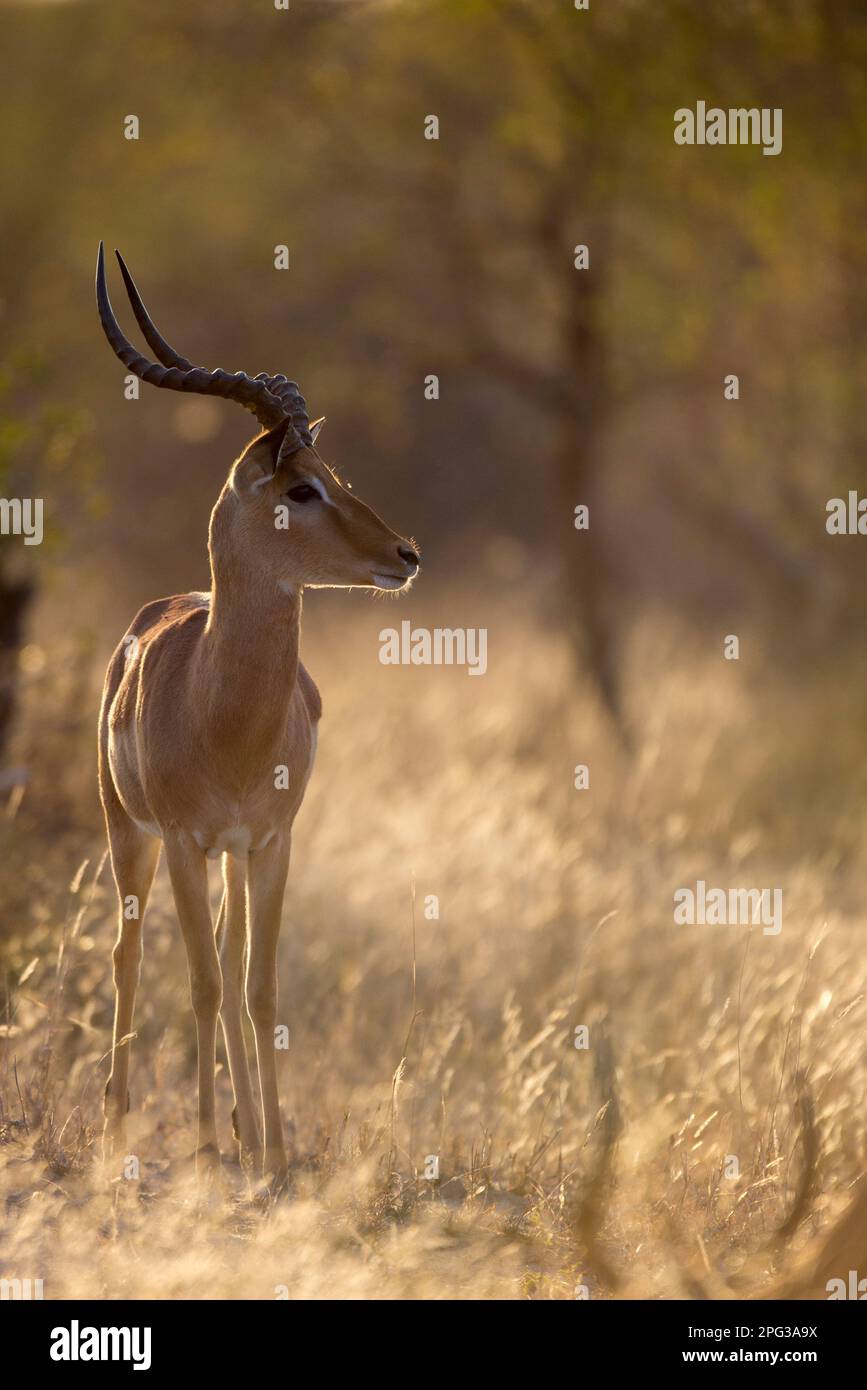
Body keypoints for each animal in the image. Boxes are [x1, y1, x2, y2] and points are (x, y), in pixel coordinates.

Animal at [95, 244, 419, 1183]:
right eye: (300, 489)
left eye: (337, 477)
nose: (405, 554)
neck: (226, 719)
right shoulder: (183, 842)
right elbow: (203, 983)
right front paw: (209, 1146)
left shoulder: (273, 839)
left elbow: (258, 986)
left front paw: (271, 1151)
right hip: (129, 834)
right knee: (131, 956)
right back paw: (119, 1130)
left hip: (232, 856)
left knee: (229, 958)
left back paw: (244, 1133)